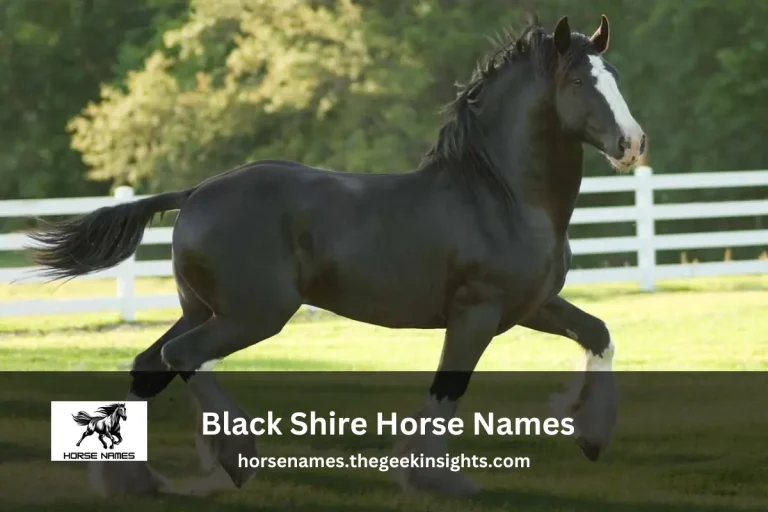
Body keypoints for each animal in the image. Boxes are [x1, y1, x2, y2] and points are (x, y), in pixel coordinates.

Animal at [28, 15, 645, 497]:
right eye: (576, 80)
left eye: (615, 77)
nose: (633, 144)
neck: (501, 197)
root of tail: (197, 192)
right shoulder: (477, 310)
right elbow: (448, 386)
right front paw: (432, 478)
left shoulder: (531, 305)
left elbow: (600, 334)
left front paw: (589, 433)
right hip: (255, 313)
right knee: (182, 356)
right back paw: (234, 459)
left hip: (204, 308)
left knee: (150, 363)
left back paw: (131, 481)